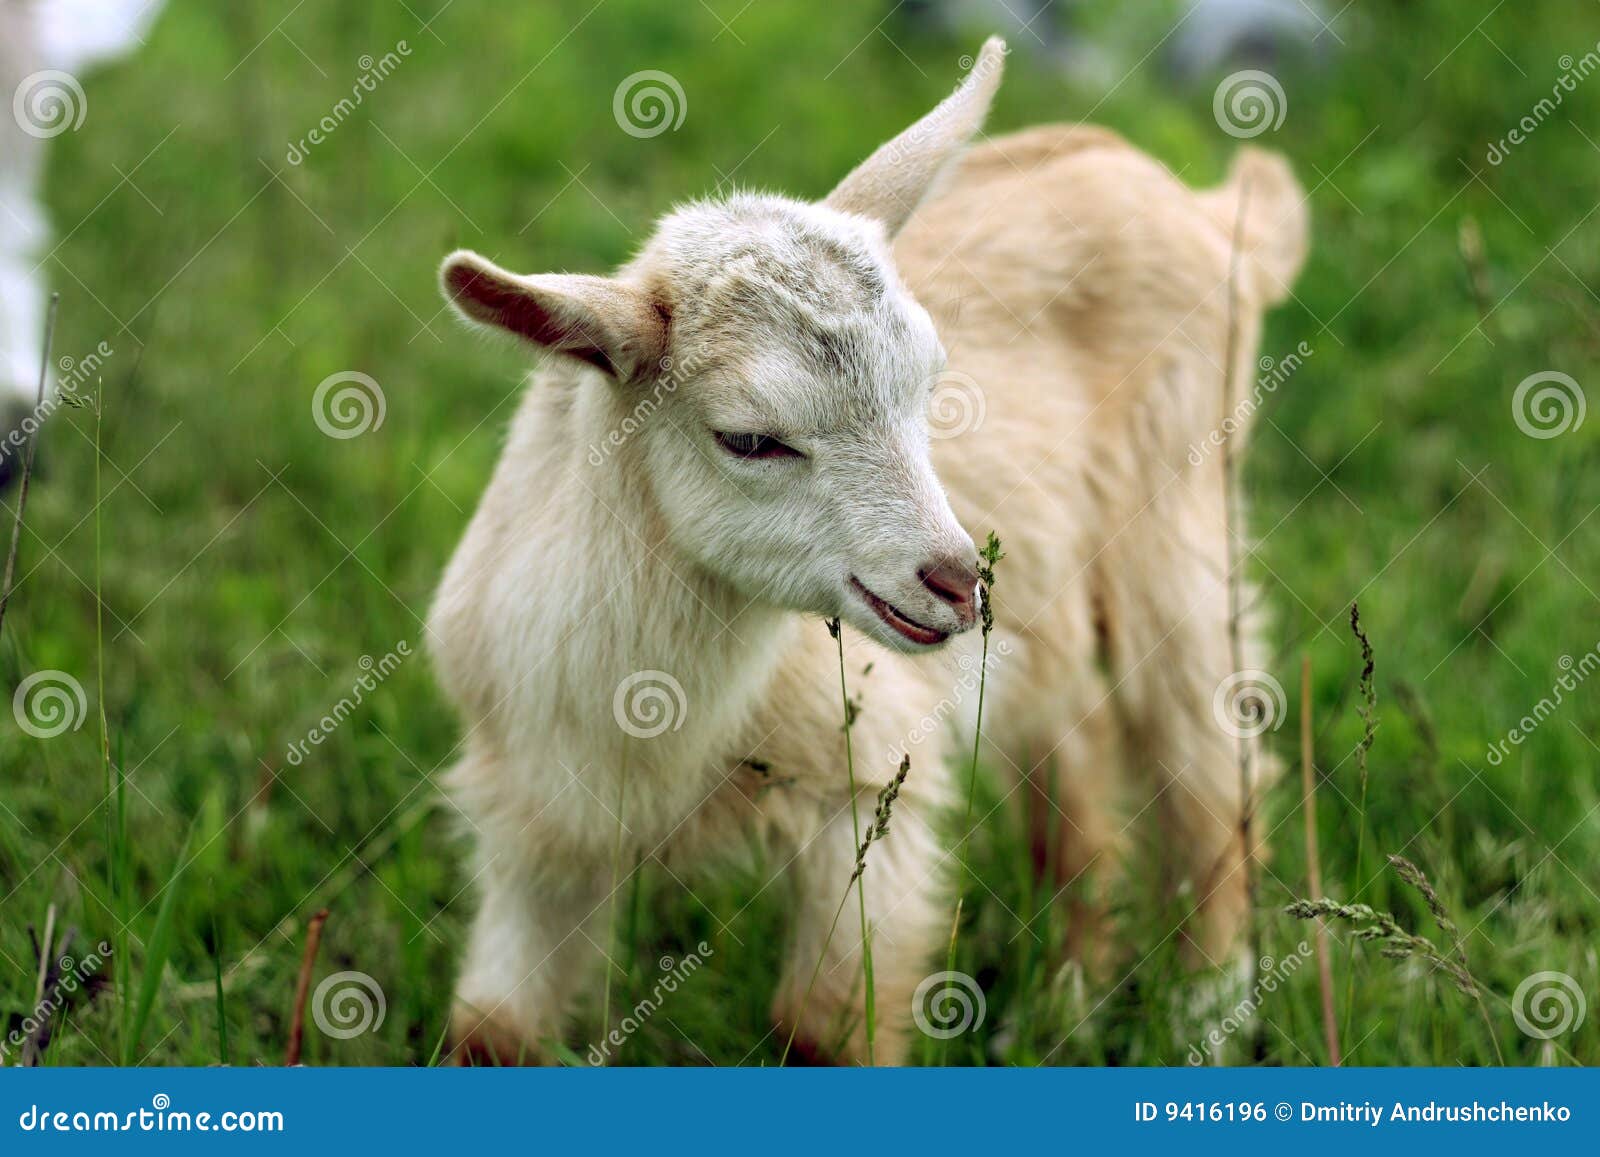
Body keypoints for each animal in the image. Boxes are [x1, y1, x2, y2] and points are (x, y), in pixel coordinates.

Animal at [430, 37, 1307, 1064]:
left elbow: (821, 1027)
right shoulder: (531, 826)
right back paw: (1067, 999)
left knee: (1204, 752)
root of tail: (1201, 207)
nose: (957, 582)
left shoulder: (868, 780)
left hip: (1181, 514)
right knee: (1077, 737)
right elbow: (490, 1030)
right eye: (750, 438)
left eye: (930, 386)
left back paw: (1204, 1009)